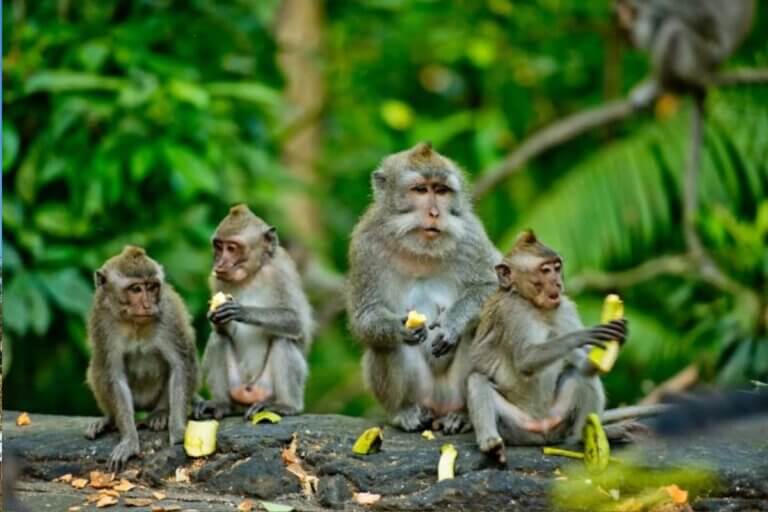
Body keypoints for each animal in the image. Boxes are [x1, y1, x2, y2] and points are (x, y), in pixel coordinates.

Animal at [85, 246, 199, 471]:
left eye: (152, 287)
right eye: (136, 289)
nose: (148, 305)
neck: (133, 322)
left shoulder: (168, 313)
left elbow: (181, 364)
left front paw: (179, 432)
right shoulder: (102, 319)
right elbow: (114, 375)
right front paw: (129, 441)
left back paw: (161, 413)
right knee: (97, 367)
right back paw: (108, 419)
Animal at [194, 204, 313, 421]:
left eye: (232, 248)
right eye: (219, 246)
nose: (219, 263)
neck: (251, 275)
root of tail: (248, 393)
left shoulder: (280, 272)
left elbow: (295, 321)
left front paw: (241, 311)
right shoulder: (216, 280)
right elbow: (222, 331)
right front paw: (217, 318)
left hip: (266, 388)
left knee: (283, 340)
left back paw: (286, 405)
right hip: (237, 386)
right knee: (218, 339)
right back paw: (221, 404)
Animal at [347, 142, 500, 434]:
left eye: (440, 191)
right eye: (420, 190)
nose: (435, 213)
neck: (420, 249)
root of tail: (440, 404)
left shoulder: (472, 236)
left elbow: (493, 289)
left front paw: (452, 323)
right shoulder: (365, 245)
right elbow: (366, 315)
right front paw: (397, 328)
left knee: (480, 328)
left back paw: (463, 414)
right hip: (421, 391)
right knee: (383, 345)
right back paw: (404, 412)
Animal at [467, 231, 629, 463]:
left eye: (557, 267)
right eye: (545, 270)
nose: (558, 283)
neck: (534, 306)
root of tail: (542, 430)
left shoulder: (565, 308)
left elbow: (585, 366)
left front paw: (619, 337)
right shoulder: (511, 312)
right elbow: (525, 359)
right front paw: (580, 336)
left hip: (558, 418)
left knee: (582, 375)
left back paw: (581, 436)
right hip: (517, 426)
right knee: (477, 379)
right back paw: (491, 444)